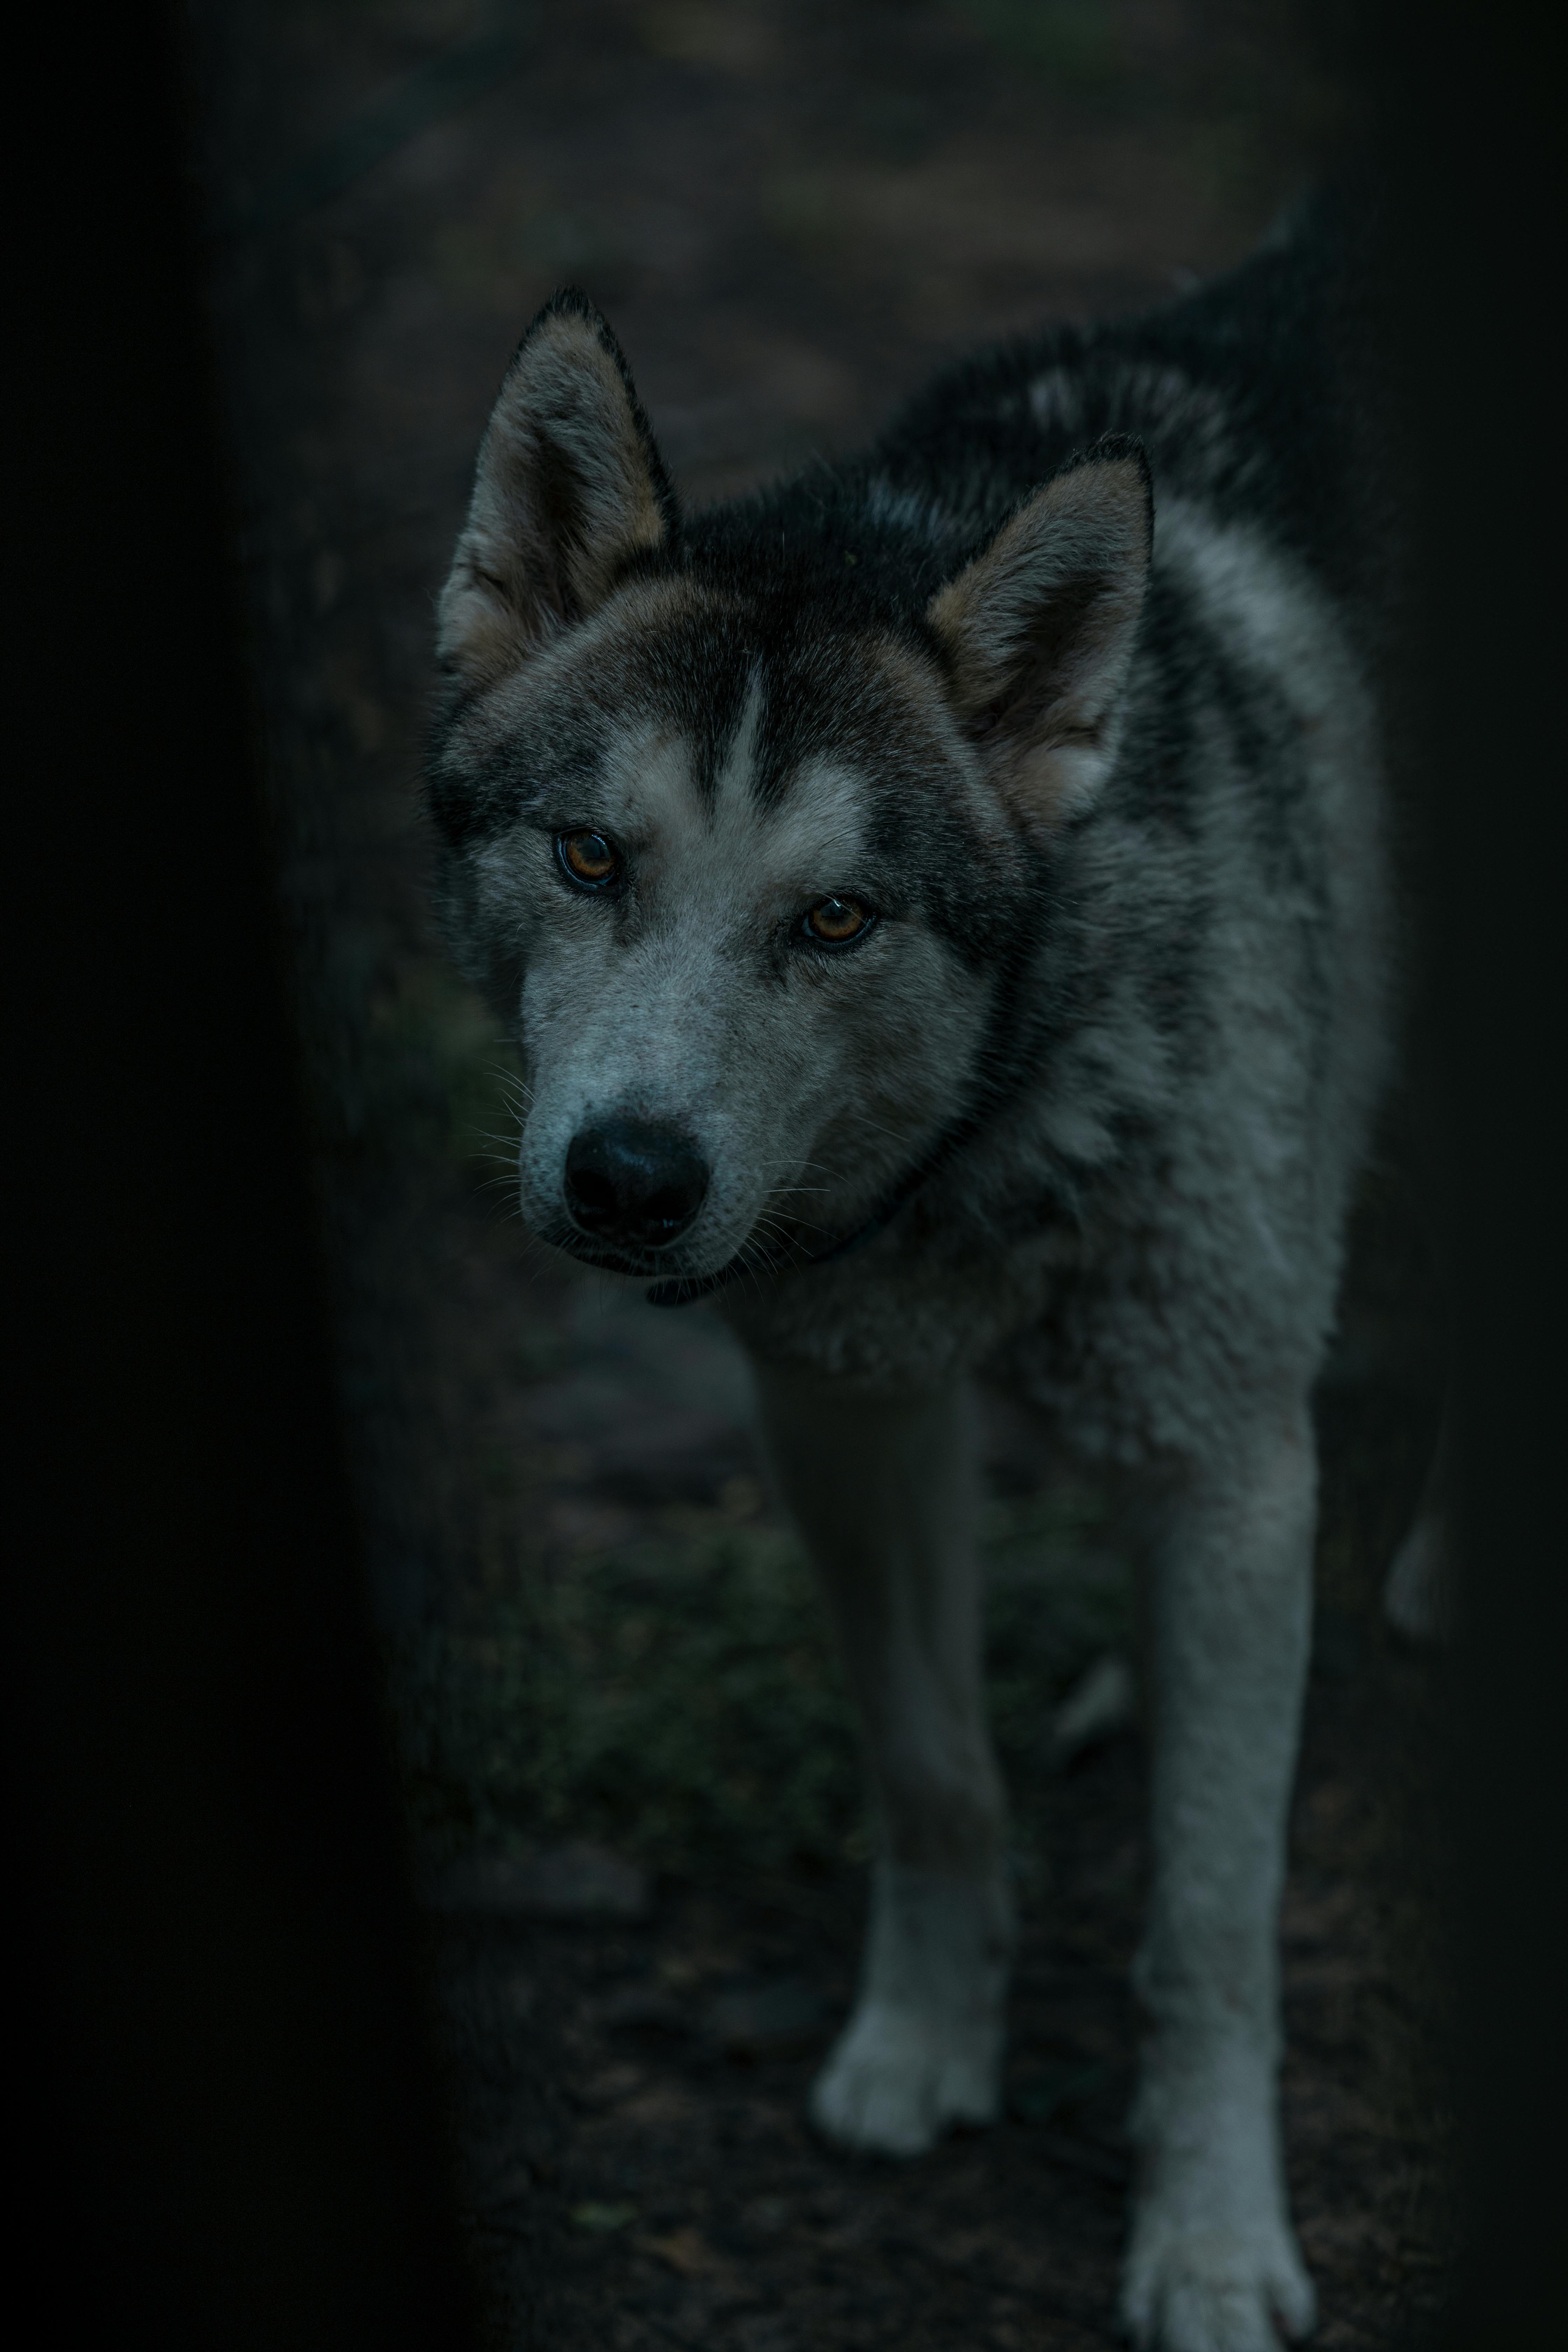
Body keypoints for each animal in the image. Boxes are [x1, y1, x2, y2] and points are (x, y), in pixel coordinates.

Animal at [428, 198, 1394, 2350]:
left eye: (839, 918)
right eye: (592, 857)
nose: (630, 1181)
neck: (992, 1141)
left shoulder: (1222, 1445)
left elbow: (1209, 1923)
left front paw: (1211, 2246)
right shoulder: (848, 1411)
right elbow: (934, 1773)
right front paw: (924, 2051)